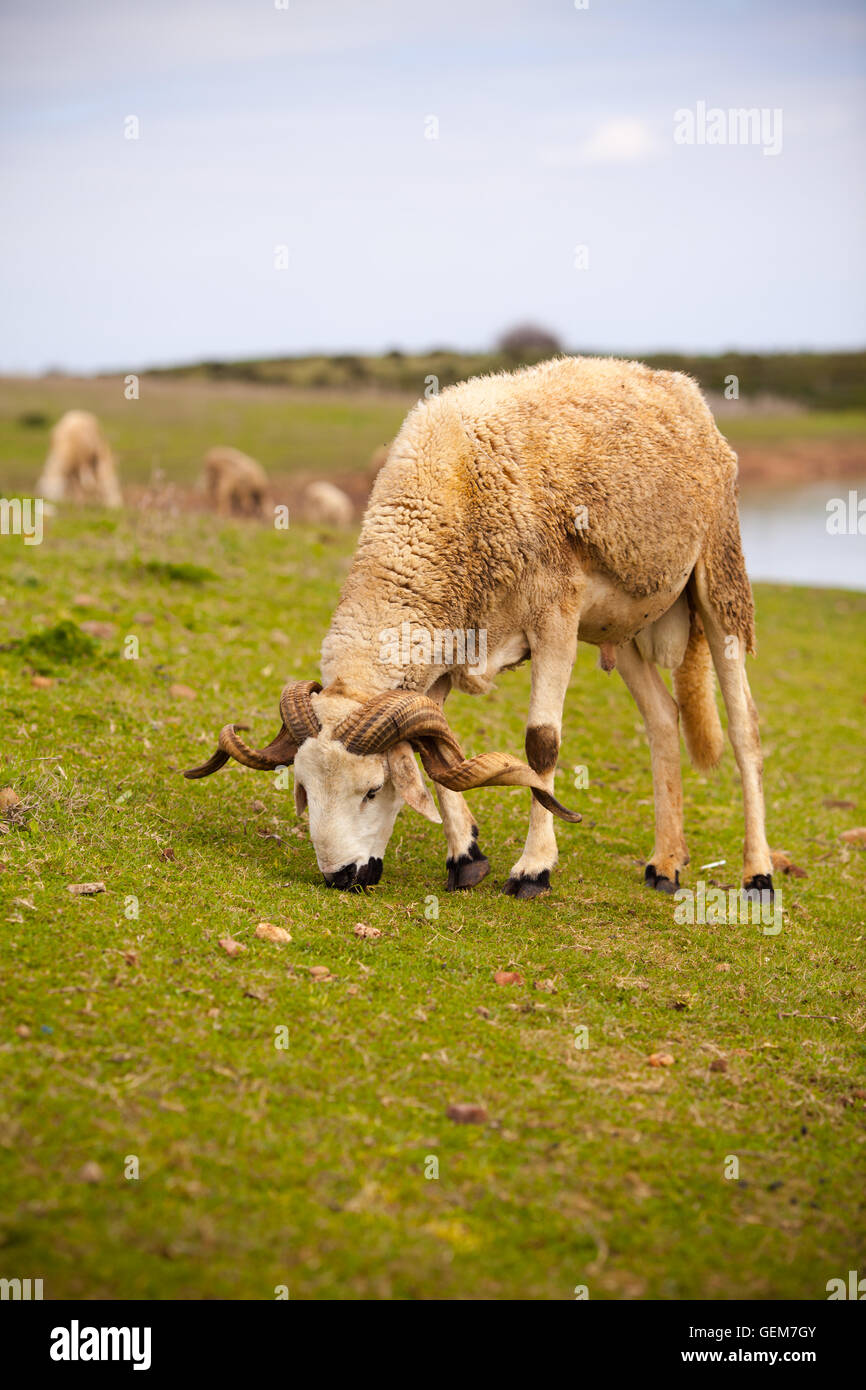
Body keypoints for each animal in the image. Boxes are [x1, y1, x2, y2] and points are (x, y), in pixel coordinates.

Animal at [185, 356, 773, 903]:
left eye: (373, 790)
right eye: (304, 787)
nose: (341, 877)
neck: (448, 491)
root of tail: (677, 385)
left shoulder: (554, 621)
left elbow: (541, 746)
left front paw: (533, 869)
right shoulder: (449, 646)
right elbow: (439, 753)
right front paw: (465, 857)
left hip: (719, 579)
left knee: (744, 729)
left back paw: (758, 873)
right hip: (621, 624)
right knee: (663, 719)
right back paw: (666, 863)